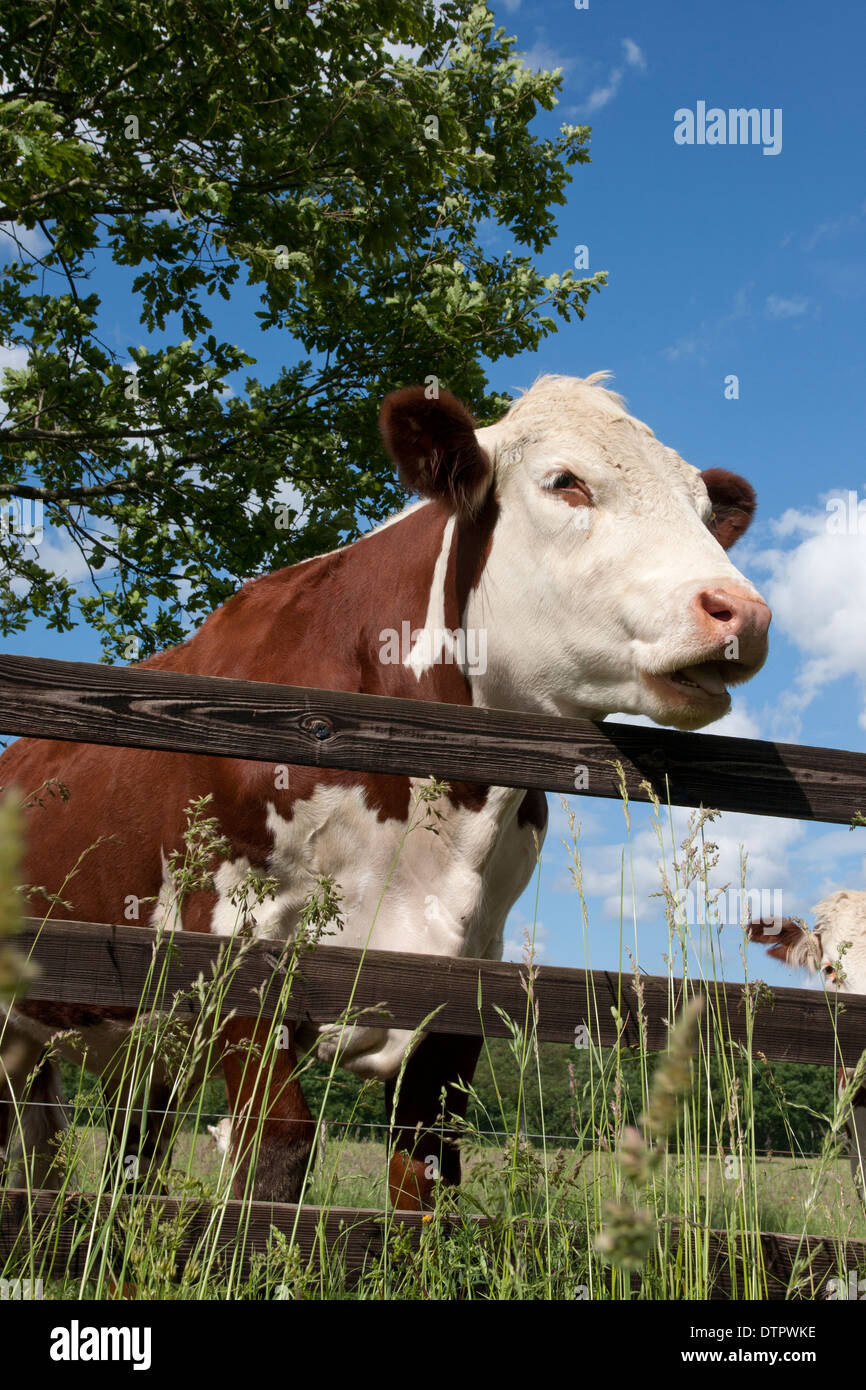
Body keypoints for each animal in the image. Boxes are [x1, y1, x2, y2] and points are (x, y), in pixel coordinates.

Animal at [0, 372, 771, 1208]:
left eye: (705, 511)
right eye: (566, 481)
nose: (745, 612)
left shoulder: (467, 968)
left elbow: (425, 1170)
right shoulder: (233, 938)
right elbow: (278, 1150)